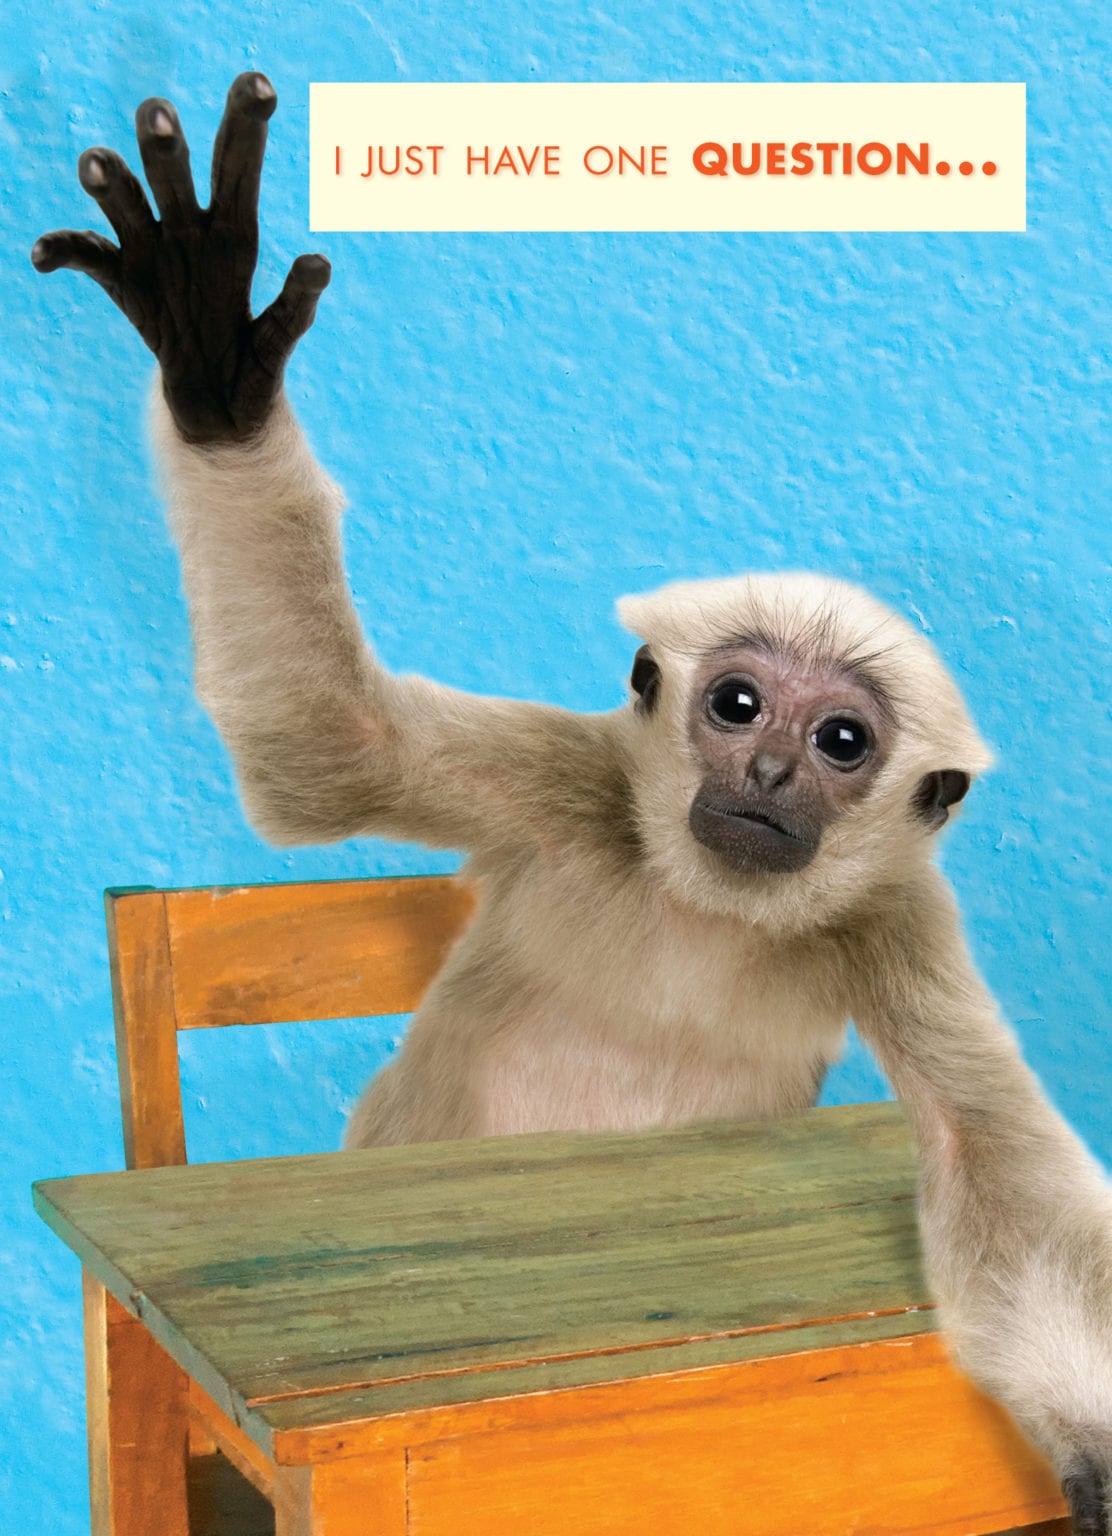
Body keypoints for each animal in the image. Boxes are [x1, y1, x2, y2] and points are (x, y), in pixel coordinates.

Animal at [34, 73, 1112, 1533]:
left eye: (839, 740)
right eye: (737, 706)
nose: (767, 777)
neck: (706, 906)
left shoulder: (897, 914)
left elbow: (994, 1165)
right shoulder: (579, 783)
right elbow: (327, 746)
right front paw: (217, 376)